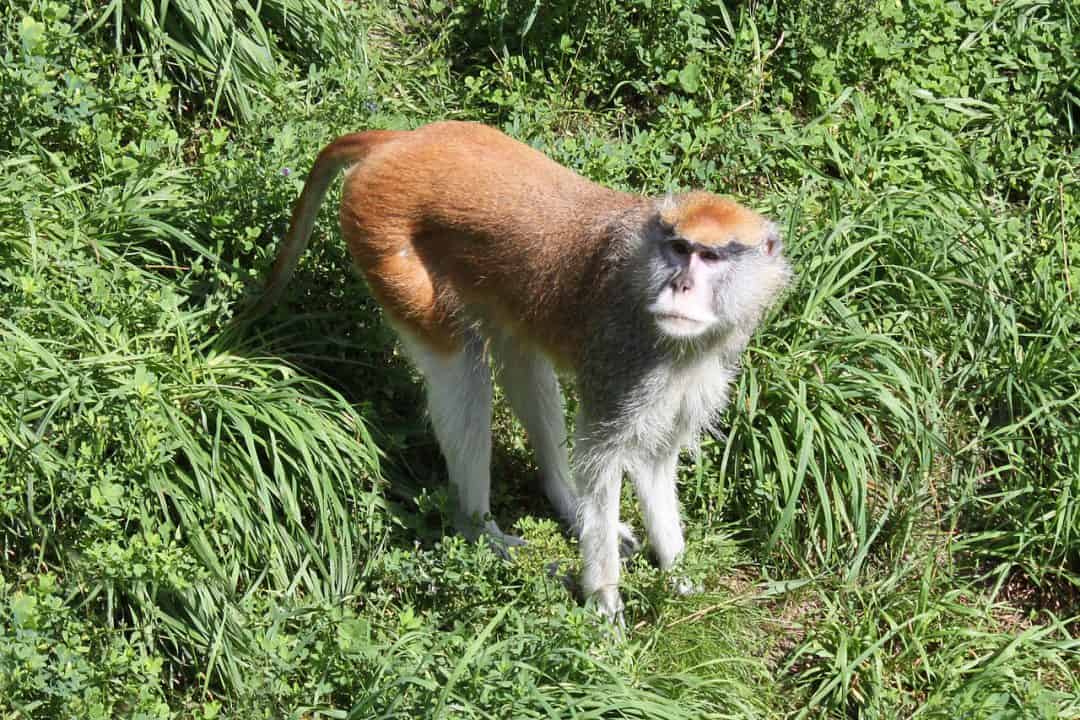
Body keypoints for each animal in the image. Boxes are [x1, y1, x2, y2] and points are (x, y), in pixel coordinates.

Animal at [251, 121, 791, 621]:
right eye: (679, 249)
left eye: (710, 256)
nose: (680, 286)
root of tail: (401, 140)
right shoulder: (623, 360)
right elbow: (602, 459)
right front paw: (605, 604)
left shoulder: (694, 367)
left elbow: (656, 461)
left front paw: (679, 576)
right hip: (387, 247)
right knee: (462, 368)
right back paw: (481, 532)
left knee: (520, 358)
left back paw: (566, 504)